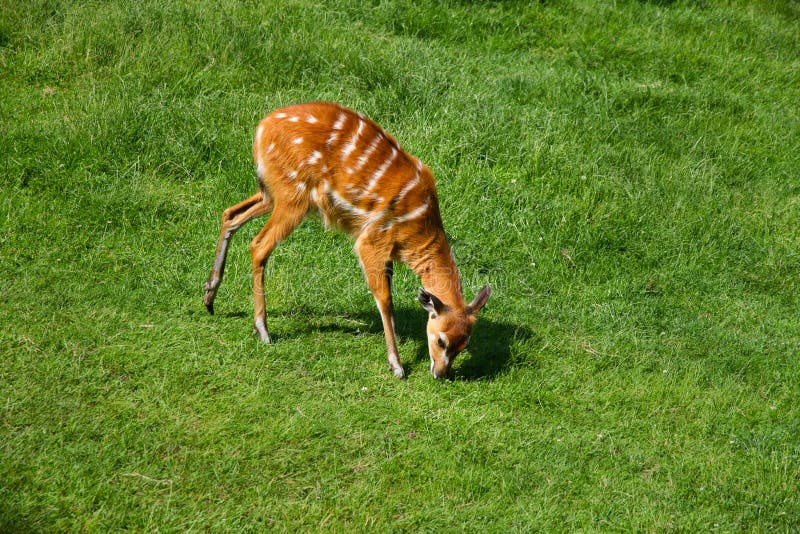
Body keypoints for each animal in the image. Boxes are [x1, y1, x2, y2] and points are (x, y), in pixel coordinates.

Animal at [203, 102, 491, 379]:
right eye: (441, 341)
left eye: (464, 344)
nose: (441, 374)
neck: (419, 229)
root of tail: (261, 128)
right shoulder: (371, 240)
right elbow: (384, 299)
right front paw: (397, 365)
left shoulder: (387, 252)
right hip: (292, 196)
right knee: (259, 244)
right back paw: (262, 329)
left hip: (271, 193)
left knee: (230, 214)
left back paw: (209, 297)